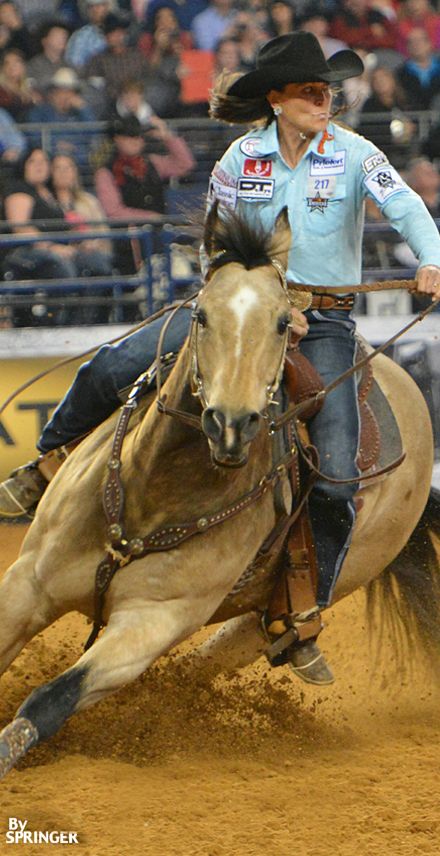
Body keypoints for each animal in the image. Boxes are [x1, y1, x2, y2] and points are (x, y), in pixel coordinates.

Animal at [0, 205, 439, 780]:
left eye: (282, 322)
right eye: (201, 315)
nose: (231, 424)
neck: (152, 494)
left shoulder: (153, 621)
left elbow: (52, 698)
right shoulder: (27, 581)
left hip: (311, 592)